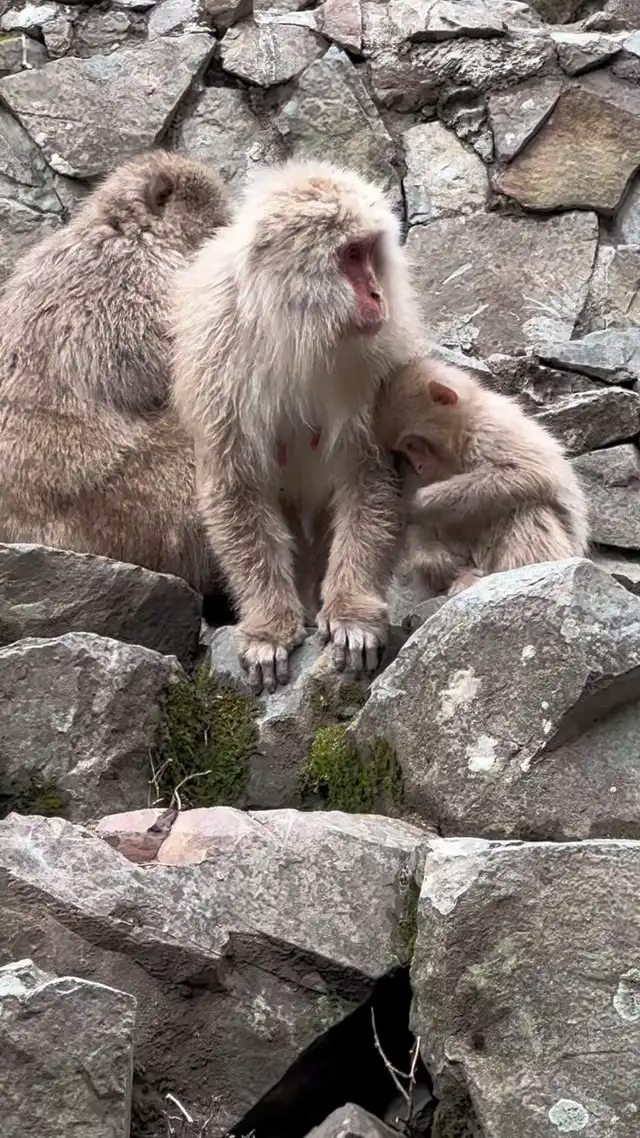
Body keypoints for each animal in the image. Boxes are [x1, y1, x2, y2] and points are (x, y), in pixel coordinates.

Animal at [172, 160, 426, 693]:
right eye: (350, 256)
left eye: (370, 252)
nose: (376, 293)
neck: (299, 330)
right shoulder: (217, 354)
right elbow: (236, 483)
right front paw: (269, 627)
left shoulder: (384, 359)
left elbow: (371, 470)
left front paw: (351, 614)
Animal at [375, 358, 590, 598]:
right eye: (402, 452)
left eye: (412, 444)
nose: (419, 465)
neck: (461, 437)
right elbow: (415, 527)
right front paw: (436, 561)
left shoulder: (490, 428)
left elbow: (529, 471)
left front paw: (424, 500)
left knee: (525, 506)